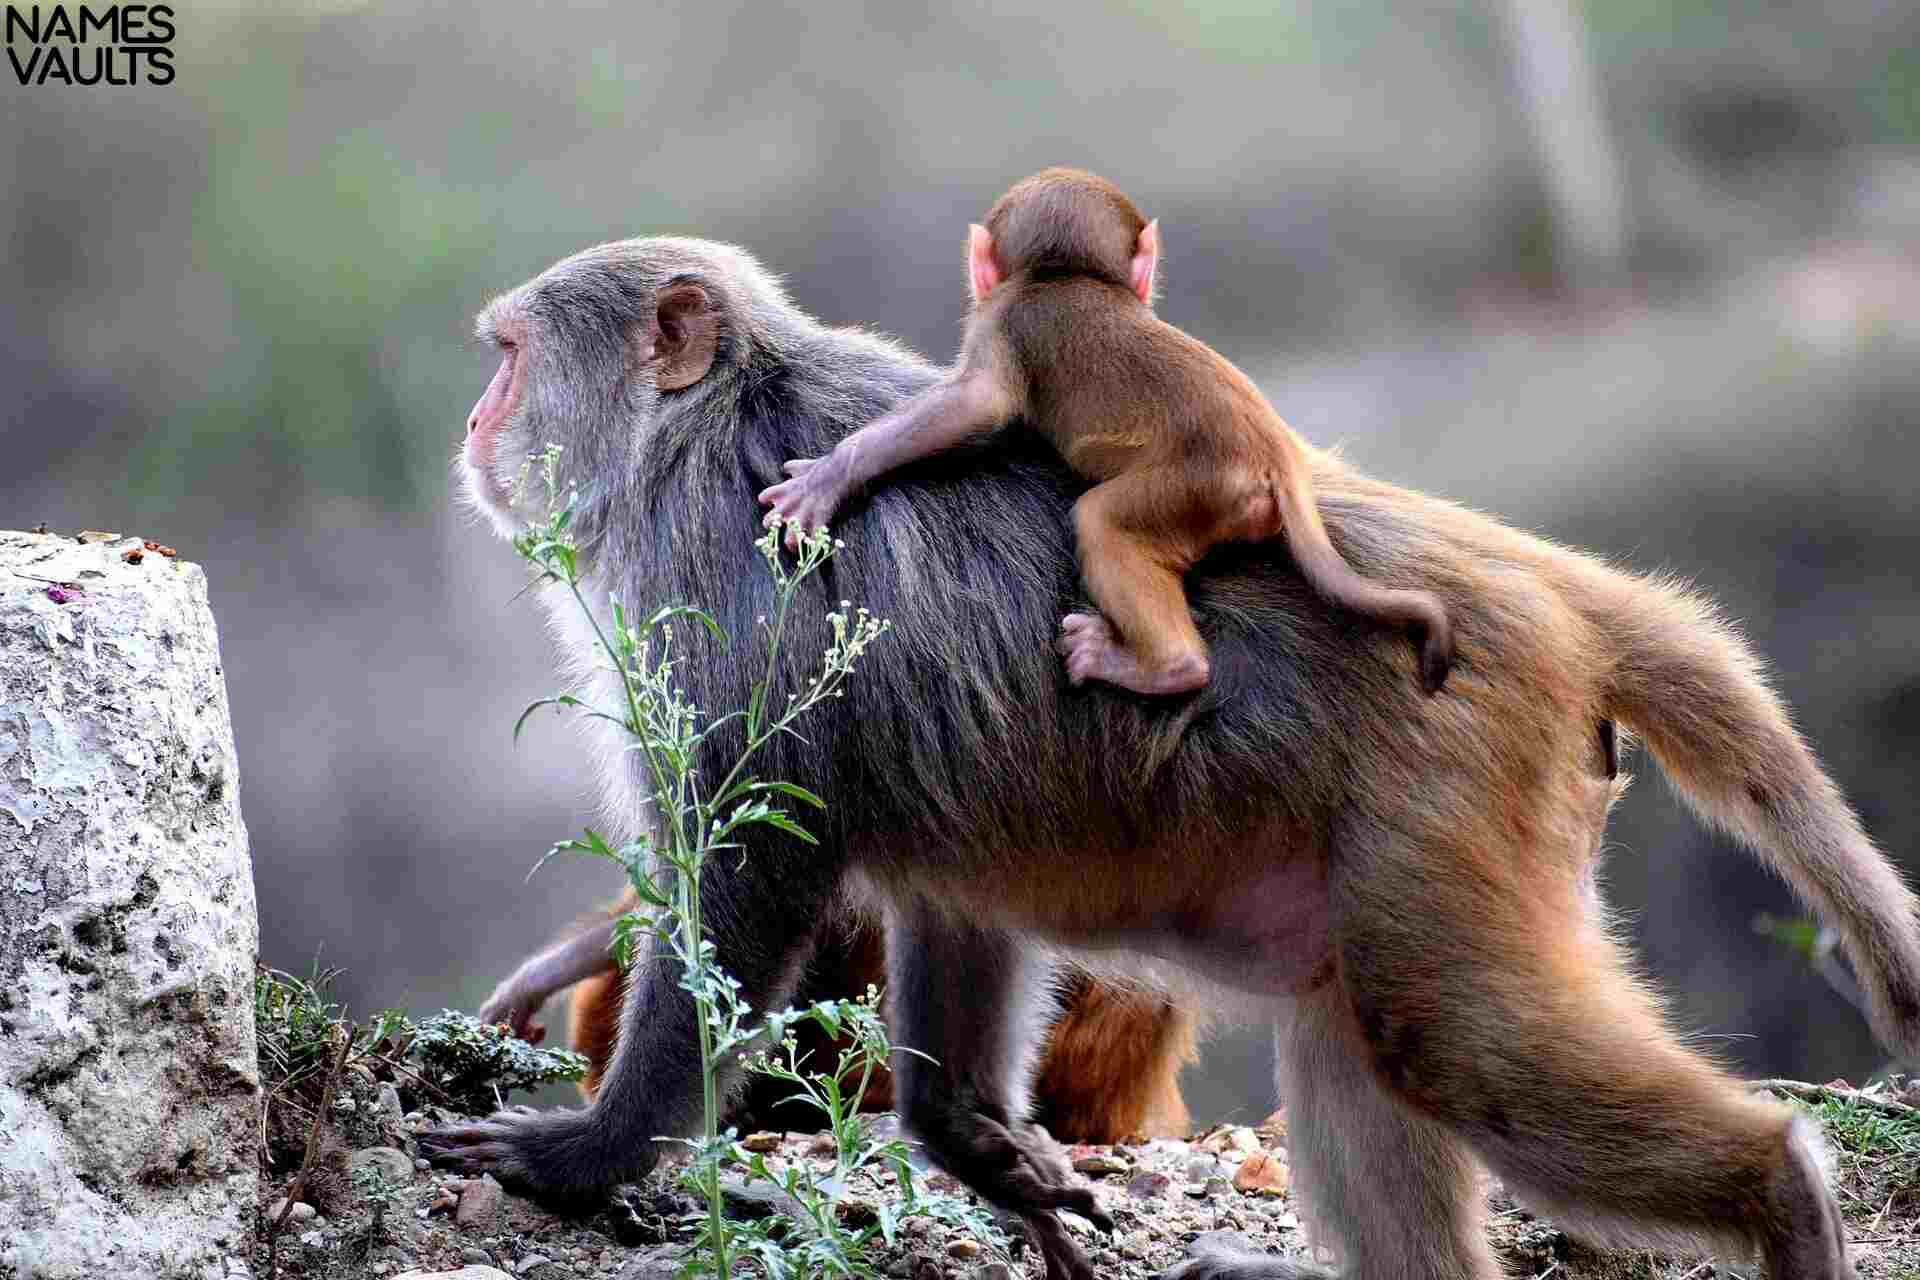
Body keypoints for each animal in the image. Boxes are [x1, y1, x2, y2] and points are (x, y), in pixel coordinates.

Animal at [758, 168, 1454, 697]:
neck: (1064, 276)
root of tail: (1275, 457)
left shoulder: (1001, 319)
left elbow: (978, 404)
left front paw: (830, 475)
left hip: (1196, 490)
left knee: (1104, 521)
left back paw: (1165, 668)